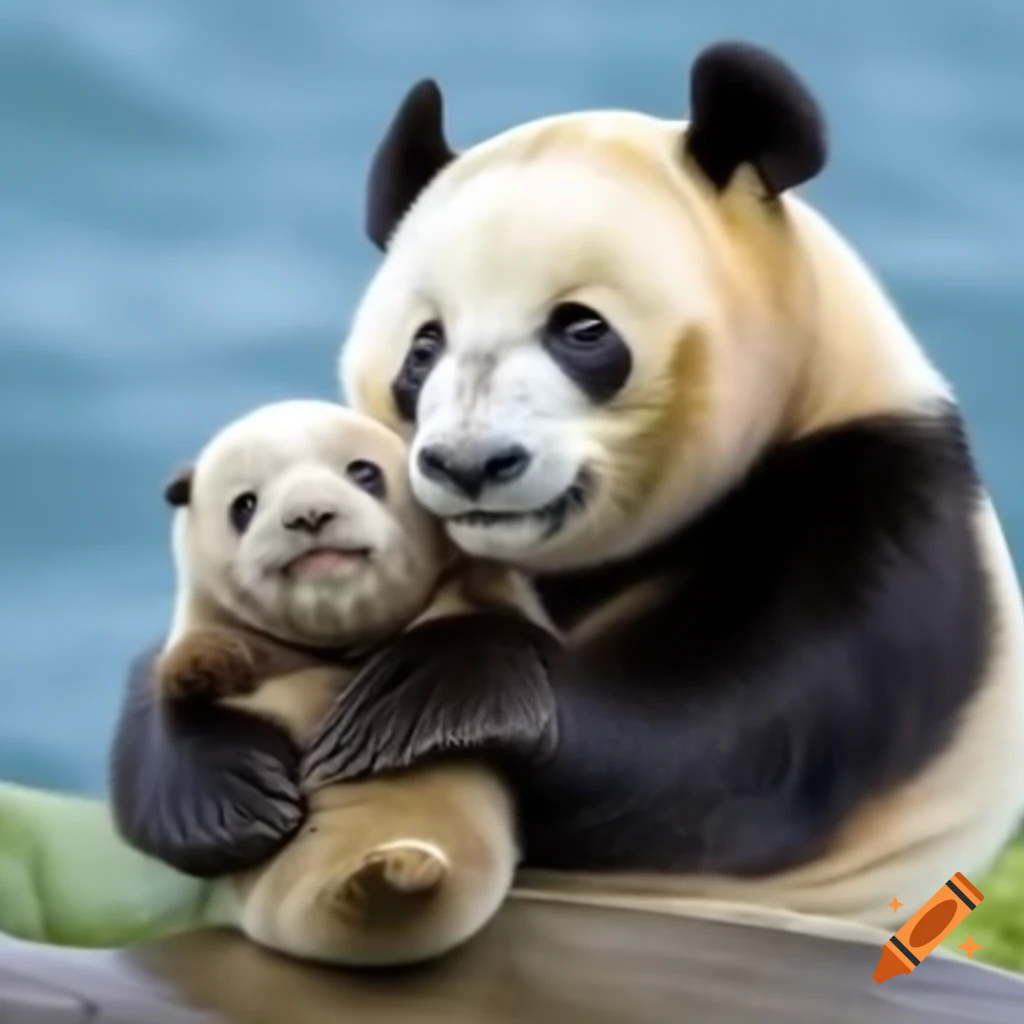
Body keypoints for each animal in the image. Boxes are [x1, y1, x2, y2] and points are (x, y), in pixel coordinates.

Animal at [111, 41, 1024, 929]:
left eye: (582, 330)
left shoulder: (874, 515)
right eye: (423, 348)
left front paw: (428, 692)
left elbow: (724, 753)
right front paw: (221, 782)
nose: (469, 465)